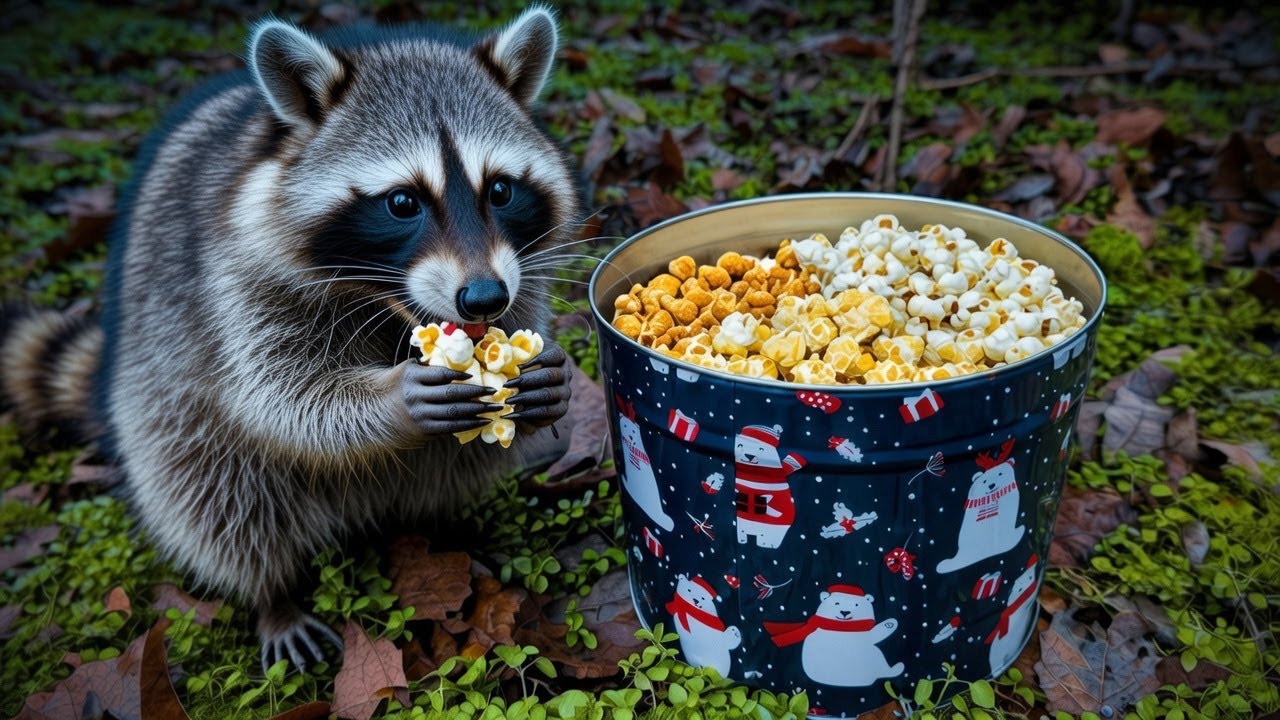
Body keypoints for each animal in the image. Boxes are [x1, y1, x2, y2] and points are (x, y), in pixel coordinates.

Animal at [0, 7, 582, 671]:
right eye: (402, 202)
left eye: (501, 190)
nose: (483, 298)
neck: (386, 306)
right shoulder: (234, 279)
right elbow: (278, 398)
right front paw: (390, 400)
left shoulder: (522, 271)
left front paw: (547, 375)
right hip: (158, 388)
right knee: (214, 490)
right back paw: (271, 593)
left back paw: (443, 529)